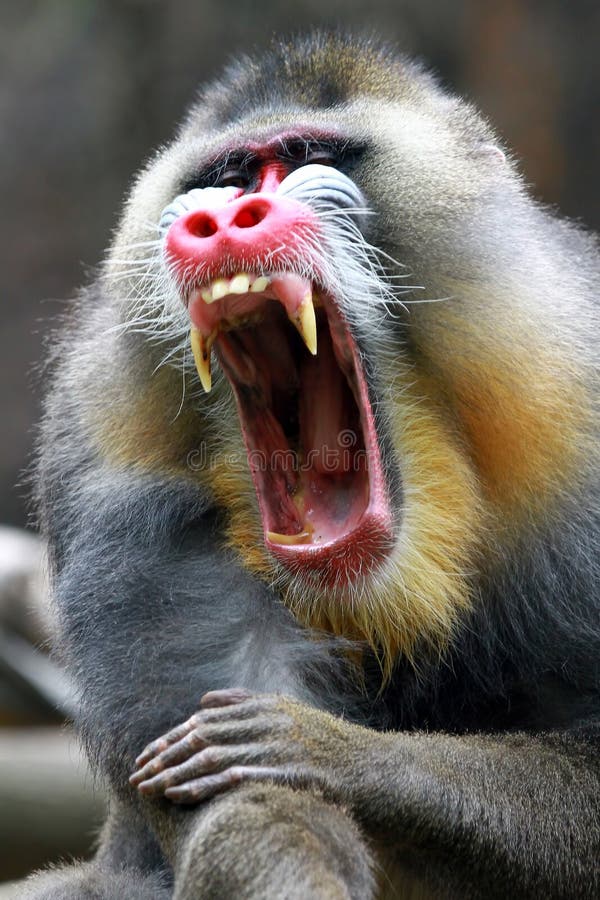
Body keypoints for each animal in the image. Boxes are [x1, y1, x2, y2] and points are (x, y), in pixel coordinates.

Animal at [23, 32, 600, 900]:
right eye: (230, 174)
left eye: (305, 156)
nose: (223, 220)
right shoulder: (110, 474)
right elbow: (243, 803)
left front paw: (320, 748)